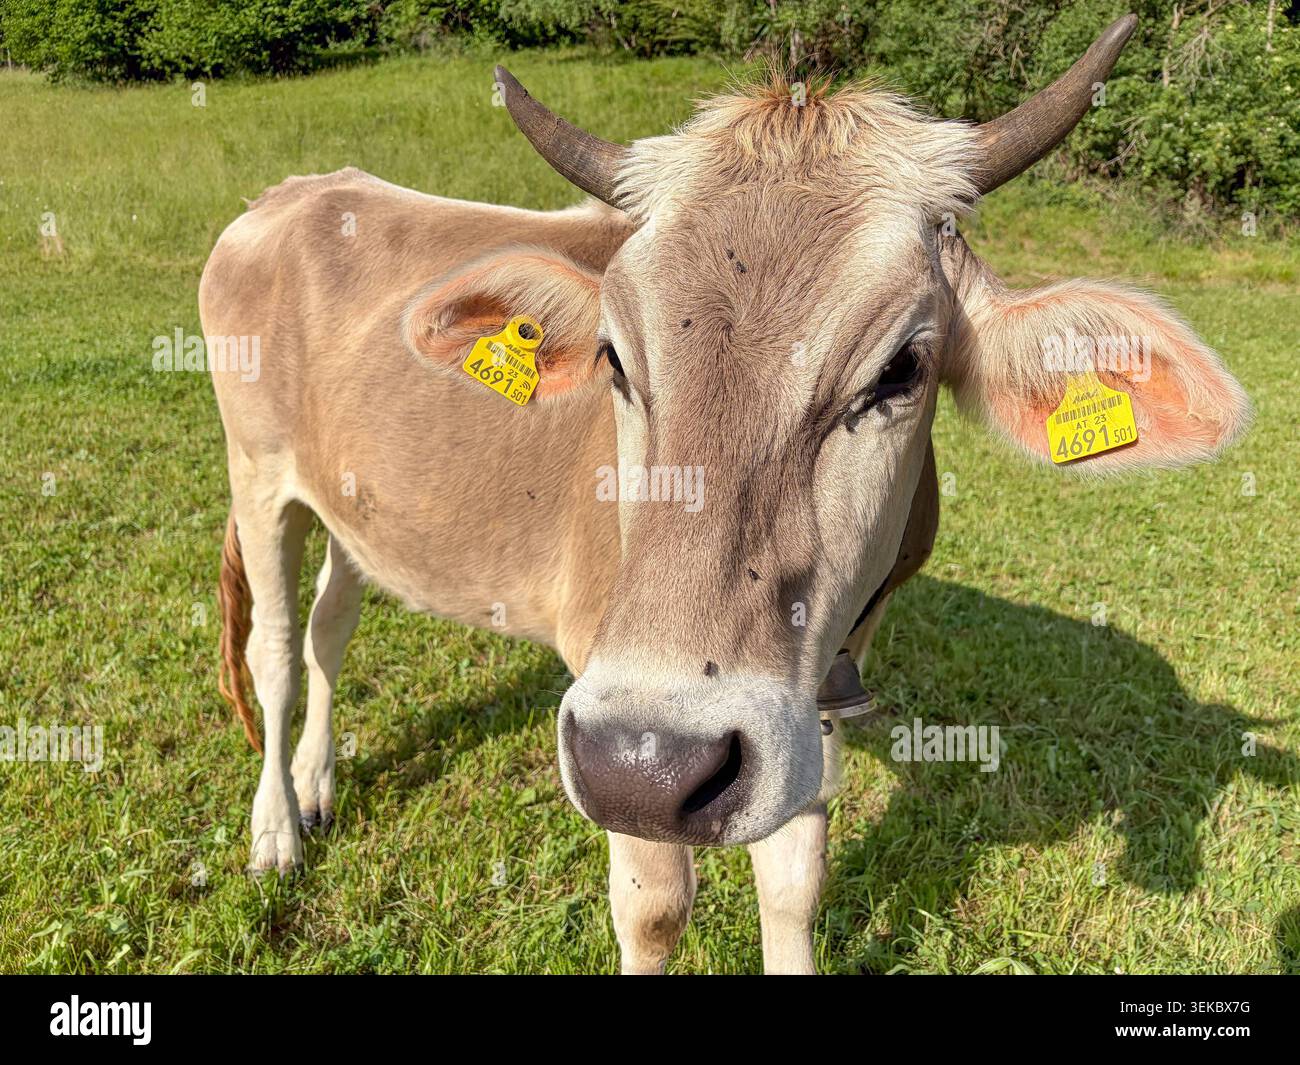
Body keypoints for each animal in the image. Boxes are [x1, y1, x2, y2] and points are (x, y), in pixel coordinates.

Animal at [201, 14, 1250, 973]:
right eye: (615, 357)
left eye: (902, 368)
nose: (649, 760)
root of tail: (298, 193)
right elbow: (654, 908)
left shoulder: (803, 699)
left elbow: (794, 885)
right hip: (258, 478)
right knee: (274, 651)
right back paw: (276, 829)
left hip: (354, 505)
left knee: (332, 623)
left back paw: (317, 781)